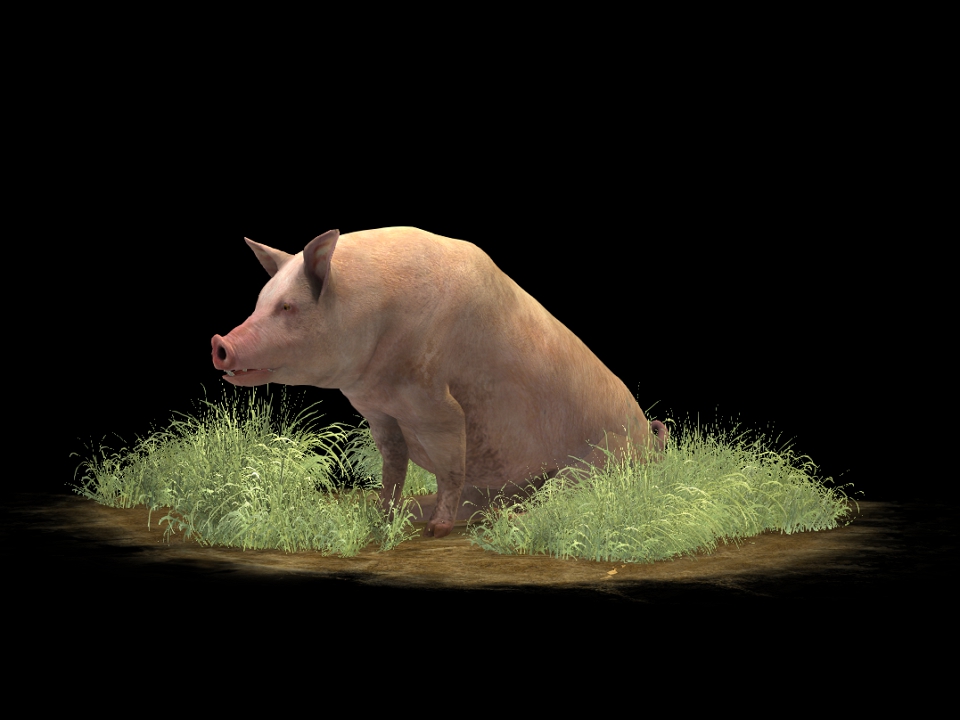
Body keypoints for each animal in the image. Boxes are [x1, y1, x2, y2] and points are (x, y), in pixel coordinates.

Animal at [211, 227, 667, 539]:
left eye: (288, 307)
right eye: (259, 303)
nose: (220, 343)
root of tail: (648, 439)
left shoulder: (436, 403)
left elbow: (450, 465)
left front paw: (436, 530)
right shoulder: (379, 412)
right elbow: (393, 465)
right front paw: (381, 515)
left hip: (599, 459)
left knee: (564, 495)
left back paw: (507, 519)